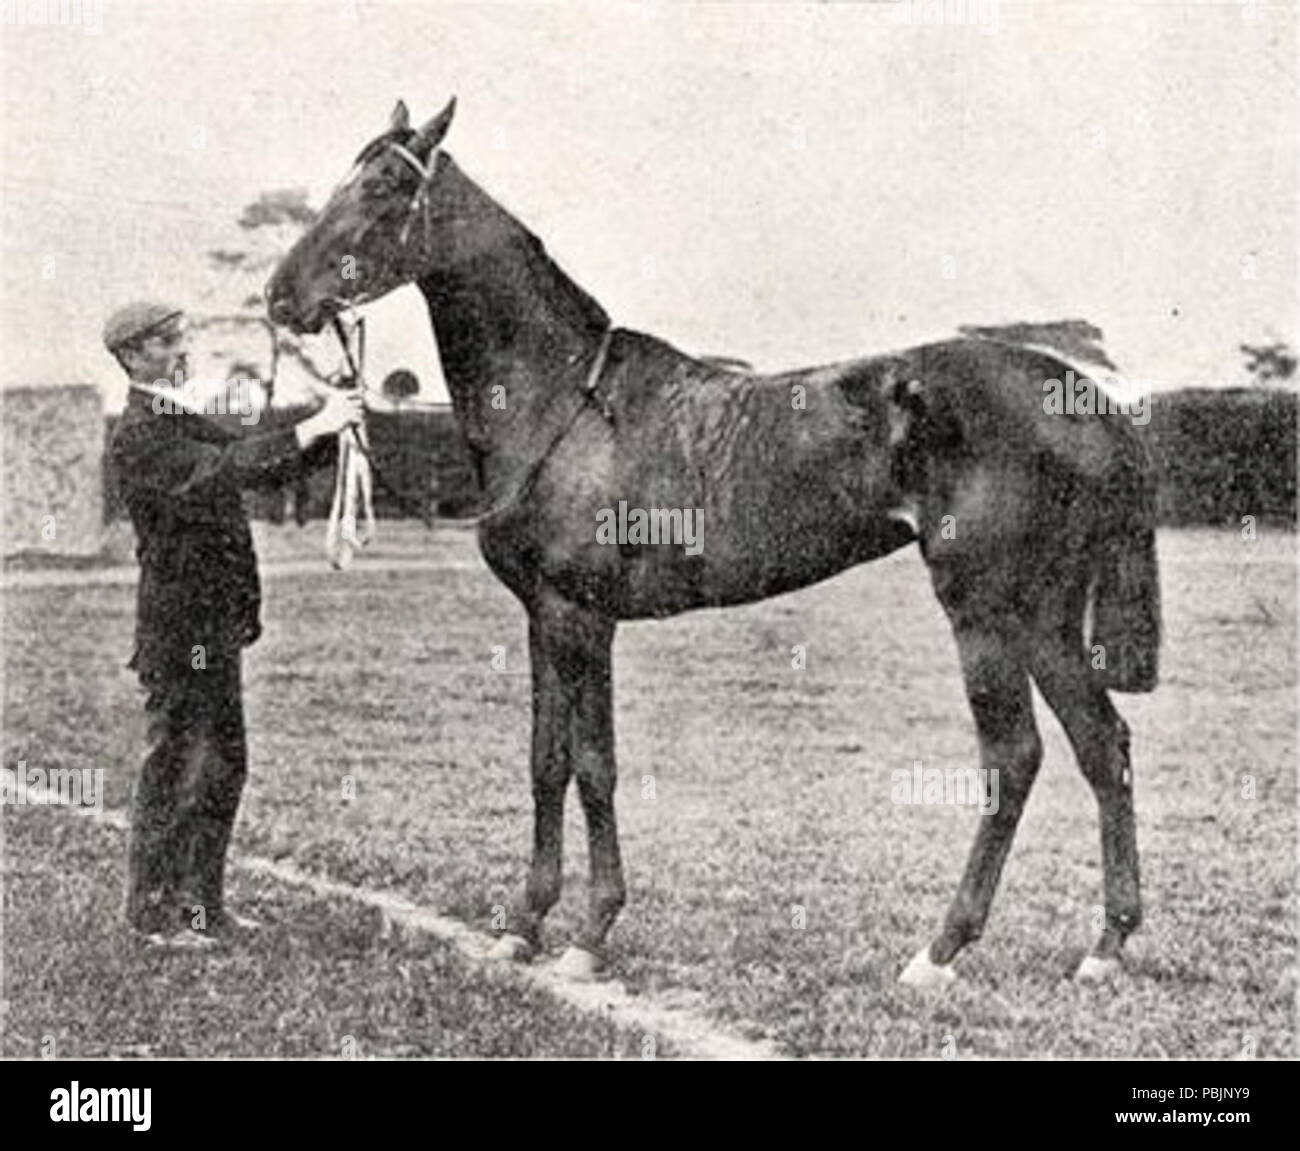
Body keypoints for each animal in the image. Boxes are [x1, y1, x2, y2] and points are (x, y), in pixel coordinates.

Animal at [267, 99, 1161, 987]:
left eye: (383, 185)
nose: (279, 296)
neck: (565, 400)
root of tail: (1083, 397)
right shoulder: (541, 616)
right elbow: (545, 760)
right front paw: (522, 925)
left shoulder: (582, 617)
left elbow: (594, 765)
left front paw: (591, 934)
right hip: (1042, 614)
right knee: (1103, 743)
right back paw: (1106, 944)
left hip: (982, 610)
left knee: (1014, 755)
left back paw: (941, 949)